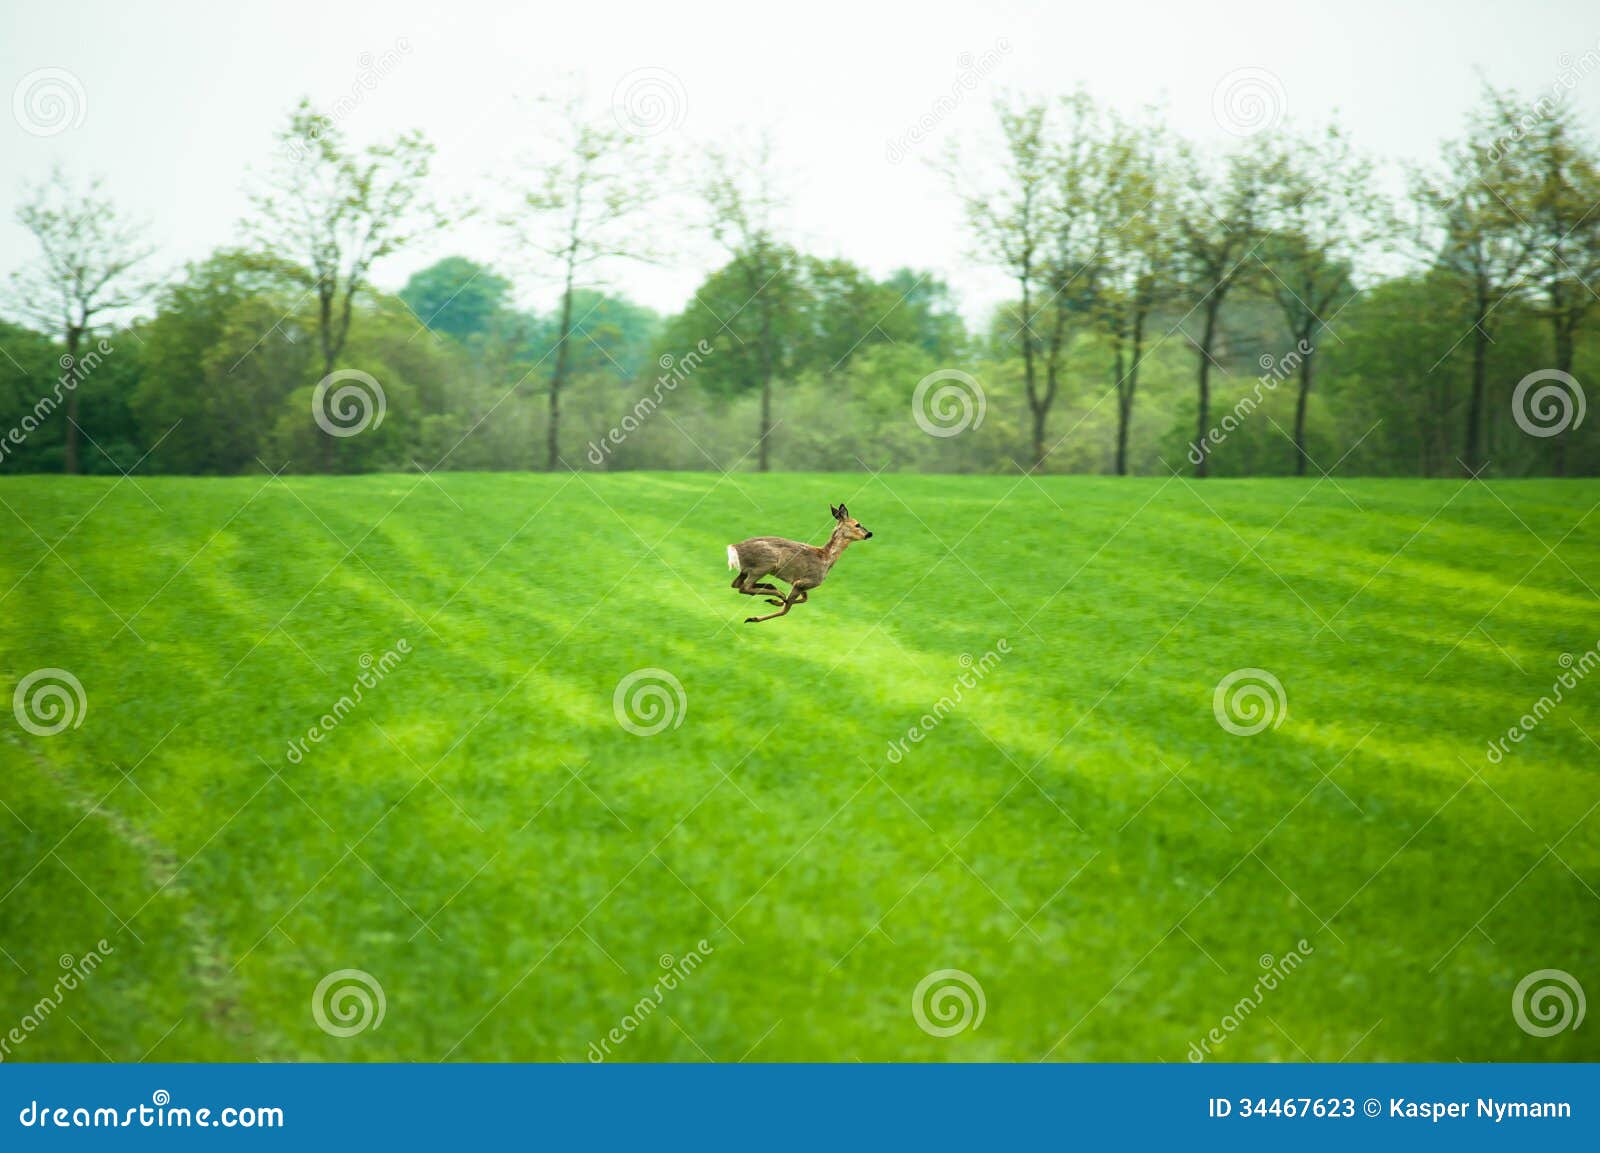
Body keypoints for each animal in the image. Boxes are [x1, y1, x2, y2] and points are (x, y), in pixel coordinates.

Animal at [727, 504, 874, 624]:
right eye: (857, 524)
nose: (870, 533)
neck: (826, 558)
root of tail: (734, 548)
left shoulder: (801, 584)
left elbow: (804, 599)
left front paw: (774, 602)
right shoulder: (803, 582)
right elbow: (786, 610)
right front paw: (753, 617)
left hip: (747, 570)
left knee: (736, 584)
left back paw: (772, 589)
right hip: (765, 565)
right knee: (744, 587)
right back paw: (778, 593)